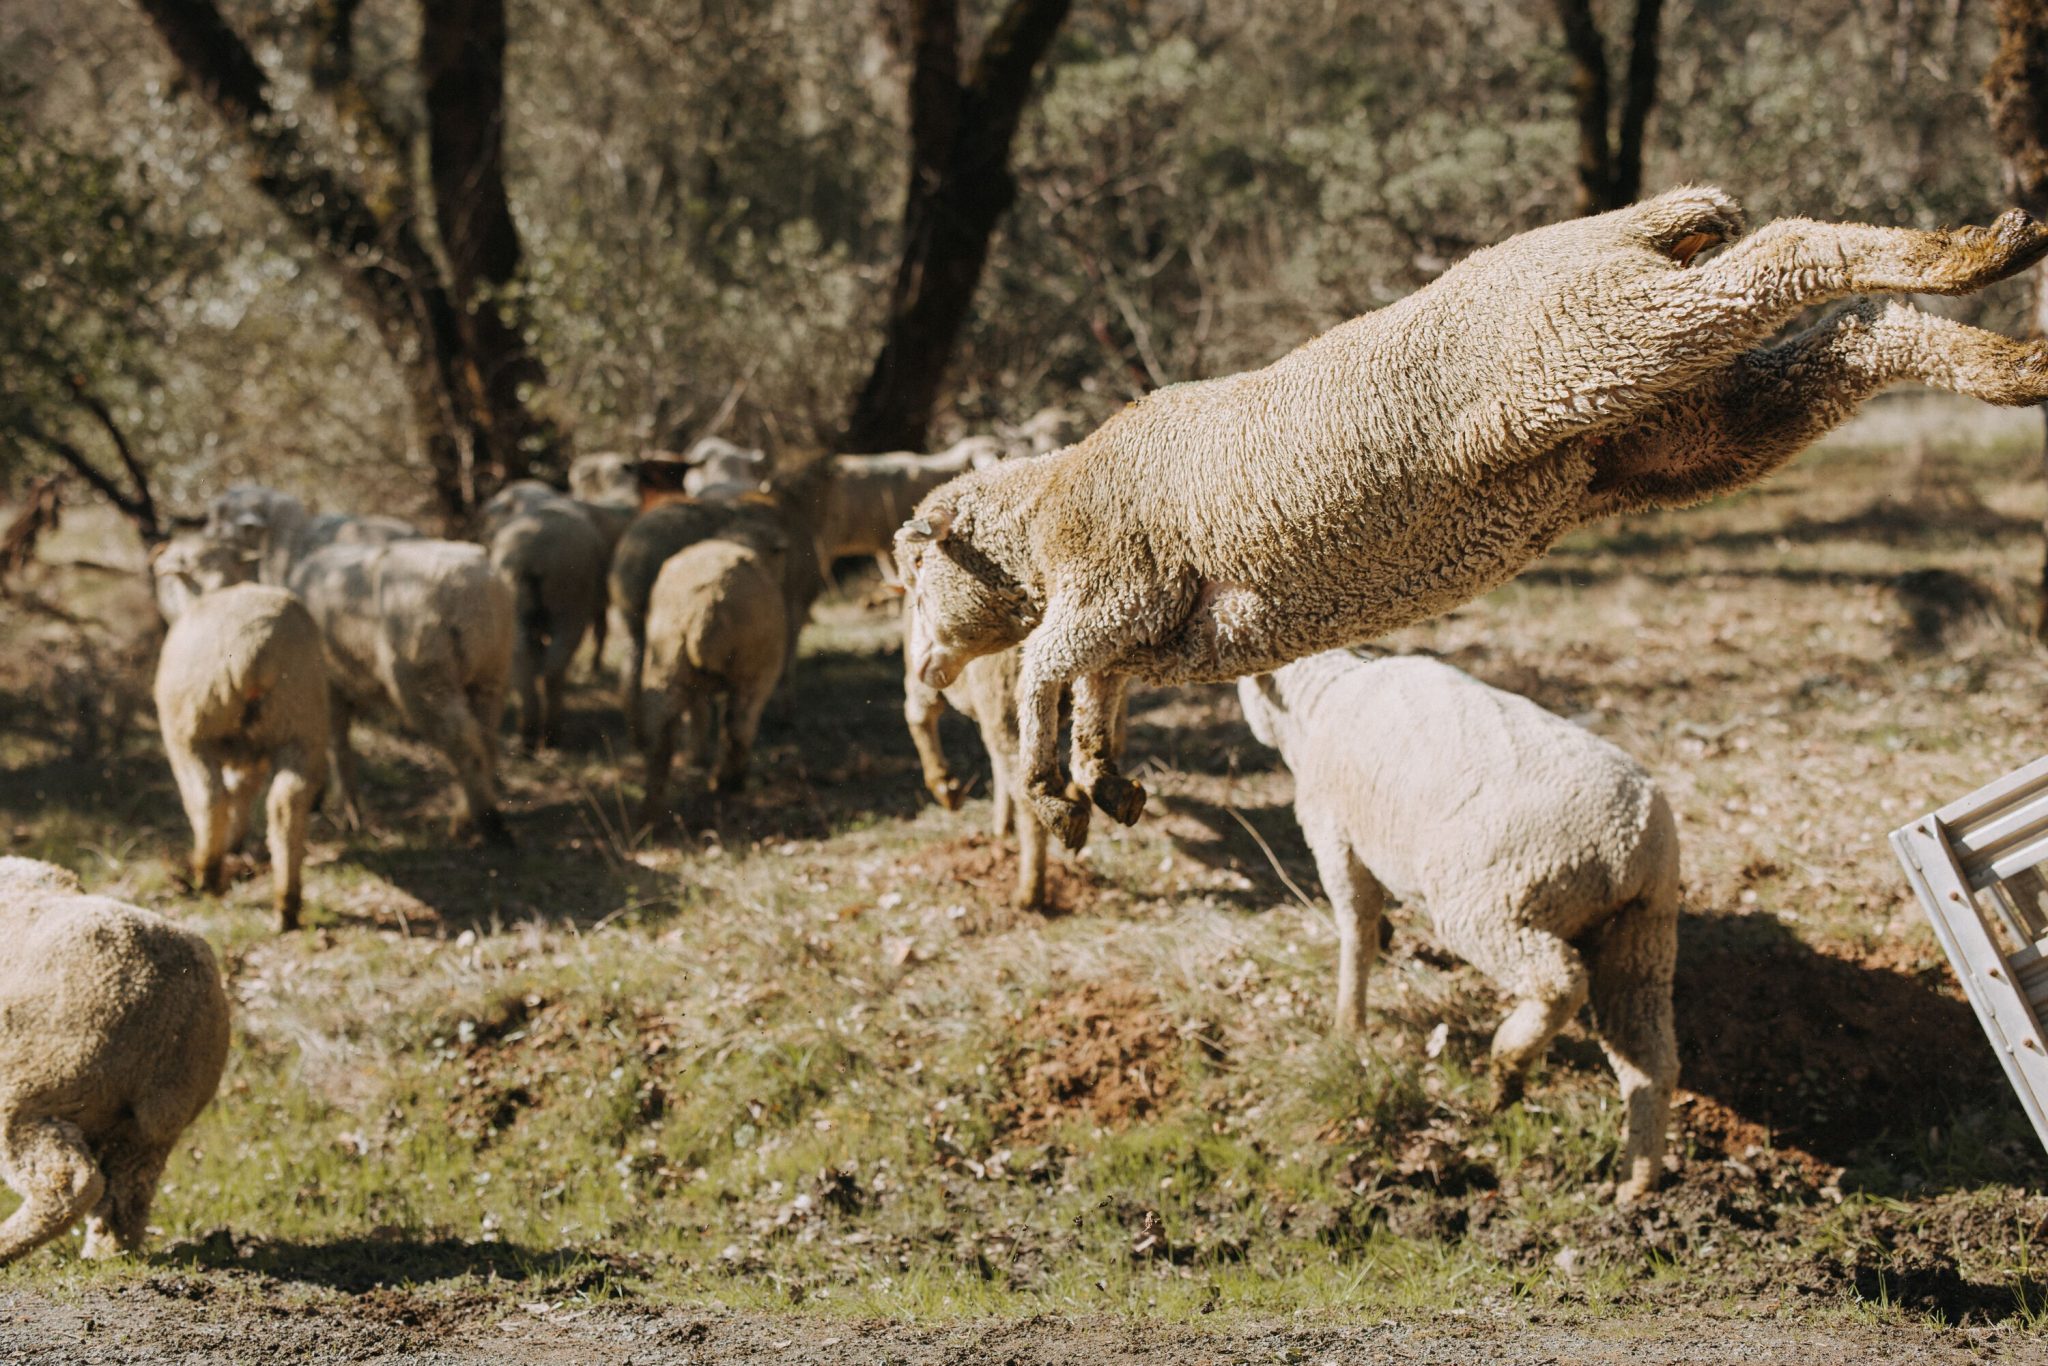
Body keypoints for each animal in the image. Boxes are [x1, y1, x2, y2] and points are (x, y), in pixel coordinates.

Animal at [152, 540, 330, 929]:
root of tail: (256, 647)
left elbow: (230, 792)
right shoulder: (251, 749)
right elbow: (243, 790)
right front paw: (236, 841)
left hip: (191, 731)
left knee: (207, 796)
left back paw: (207, 875)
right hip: (301, 725)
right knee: (286, 804)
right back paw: (286, 903)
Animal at [637, 537, 788, 826]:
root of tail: (706, 612)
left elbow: (698, 713)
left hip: (667, 664)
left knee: (661, 732)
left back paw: (652, 812)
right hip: (755, 670)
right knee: (739, 725)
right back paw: (728, 781)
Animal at [895, 189, 2048, 851]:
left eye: (913, 575)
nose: (925, 666)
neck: (1043, 513)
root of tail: (1629, 223)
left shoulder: (1113, 591)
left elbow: (1046, 668)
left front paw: (1052, 793)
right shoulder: (1147, 633)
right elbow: (1094, 689)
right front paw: (1099, 780)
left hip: (1604, 334)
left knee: (1796, 250)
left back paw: (1972, 258)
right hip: (1671, 427)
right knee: (1862, 334)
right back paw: (2005, 343)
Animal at [903, 643, 1125, 911]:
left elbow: (920, 709)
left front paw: (946, 788)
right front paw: (1002, 825)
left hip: (1005, 700)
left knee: (1028, 796)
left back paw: (1029, 893)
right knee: (1104, 743)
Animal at [1237, 649, 1679, 1206]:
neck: (1320, 700)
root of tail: (1630, 841)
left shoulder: (1337, 840)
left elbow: (1357, 931)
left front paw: (1348, 1028)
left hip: (1495, 904)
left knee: (1557, 984)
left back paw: (1508, 1065)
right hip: (1643, 932)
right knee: (1650, 1056)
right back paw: (1636, 1182)